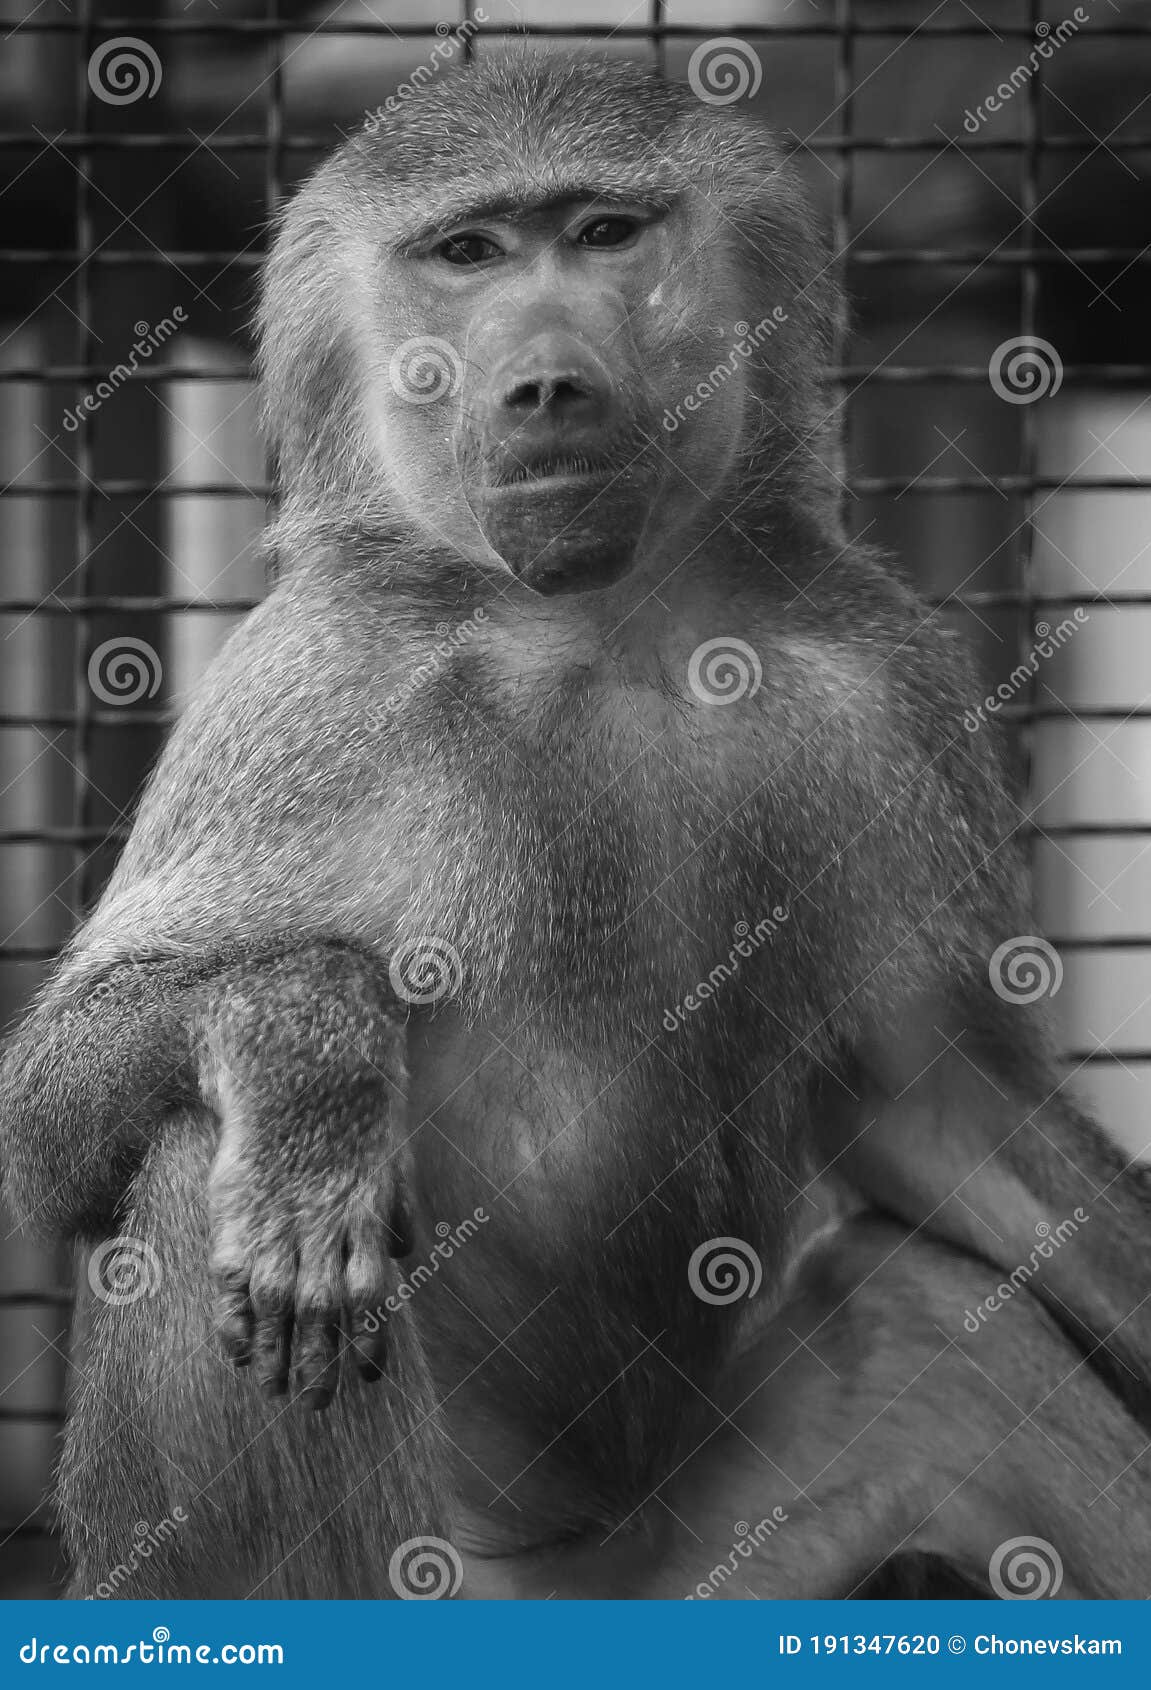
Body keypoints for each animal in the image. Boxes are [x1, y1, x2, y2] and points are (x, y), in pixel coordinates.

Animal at [2, 48, 1149, 1599]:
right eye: (468, 255)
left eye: (601, 234)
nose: (543, 383)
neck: (603, 628)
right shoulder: (309, 686)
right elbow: (49, 1118)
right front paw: (311, 1072)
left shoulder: (879, 685)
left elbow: (941, 1102)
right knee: (188, 1171)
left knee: (930, 1314)